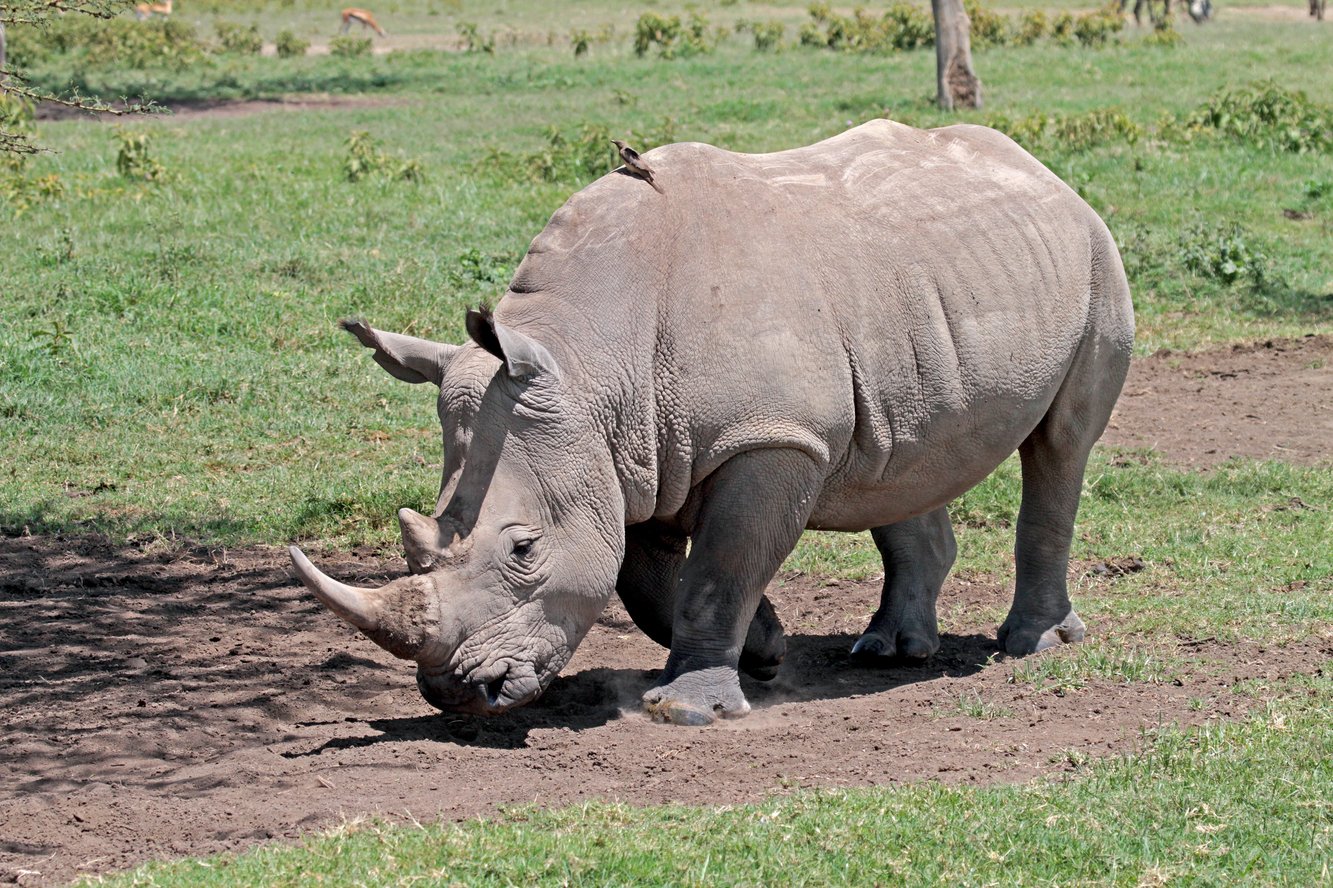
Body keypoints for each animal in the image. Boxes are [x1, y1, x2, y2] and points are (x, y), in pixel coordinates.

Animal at [289, 120, 1134, 726]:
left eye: (523, 549)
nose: (456, 692)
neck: (588, 355)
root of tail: (1041, 172)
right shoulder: (625, 451)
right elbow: (645, 581)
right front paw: (764, 649)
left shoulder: (769, 436)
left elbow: (719, 569)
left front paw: (688, 709)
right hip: (922, 295)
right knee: (902, 452)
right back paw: (888, 652)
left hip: (1096, 256)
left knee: (1061, 446)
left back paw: (1035, 645)